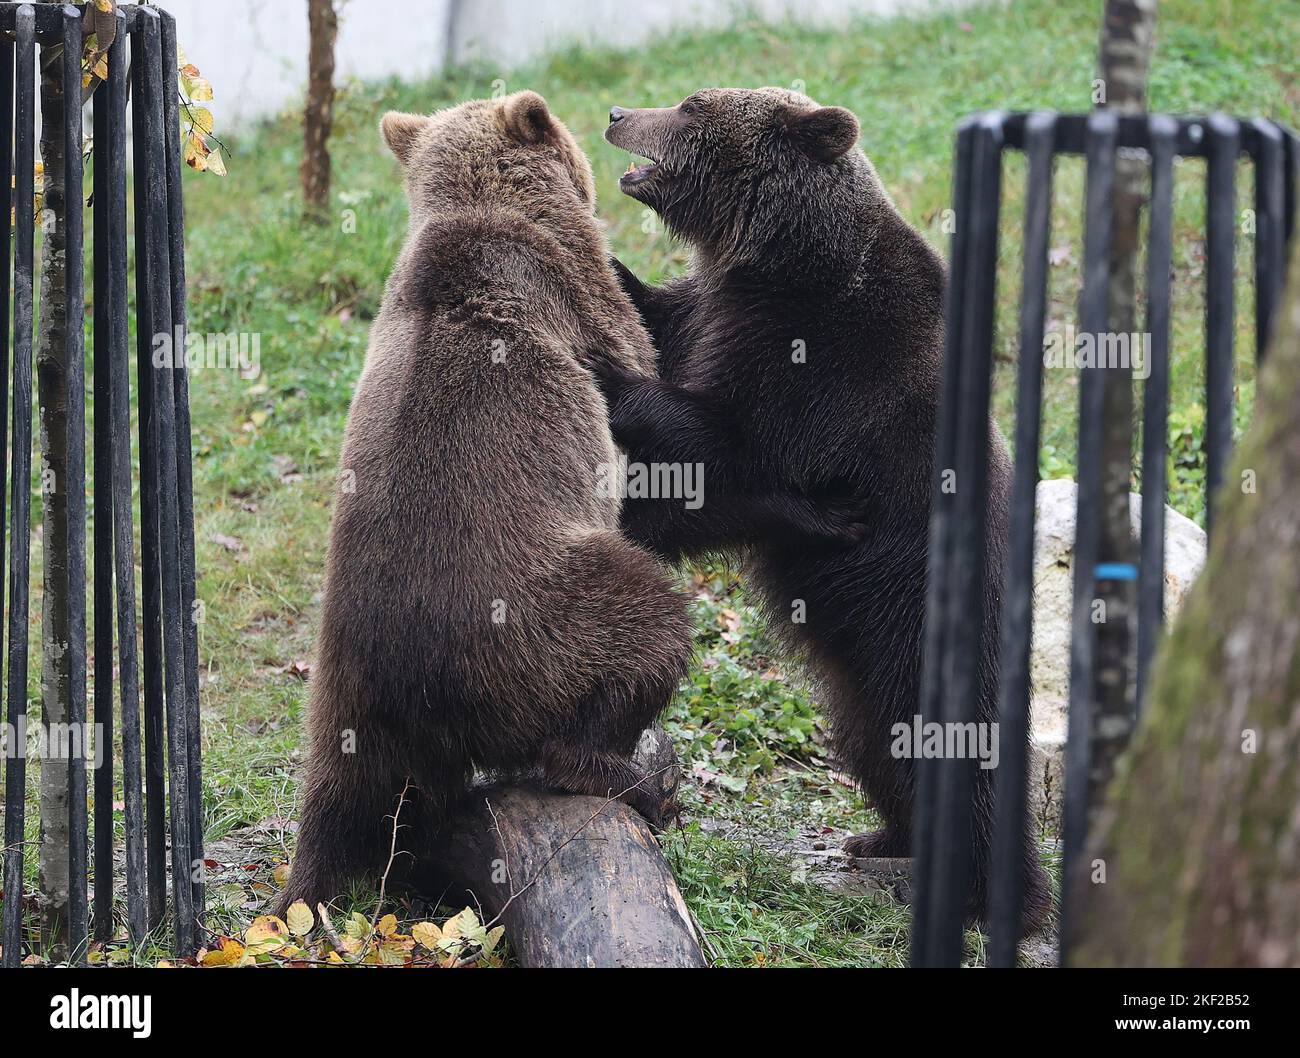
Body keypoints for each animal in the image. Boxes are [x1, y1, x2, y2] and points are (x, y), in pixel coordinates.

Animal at [277, 91, 702, 914]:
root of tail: (403, 694)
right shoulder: (574, 290)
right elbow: (632, 352)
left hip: (336, 692)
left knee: (339, 796)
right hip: (538, 621)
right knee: (645, 625)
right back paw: (632, 778)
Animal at [596, 87, 1051, 932]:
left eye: (692, 104)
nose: (615, 113)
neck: (781, 260)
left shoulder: (827, 364)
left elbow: (726, 442)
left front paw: (614, 376)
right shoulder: (717, 311)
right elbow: (662, 318)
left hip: (922, 621)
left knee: (954, 754)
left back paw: (983, 890)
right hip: (867, 672)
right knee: (874, 745)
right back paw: (883, 837)